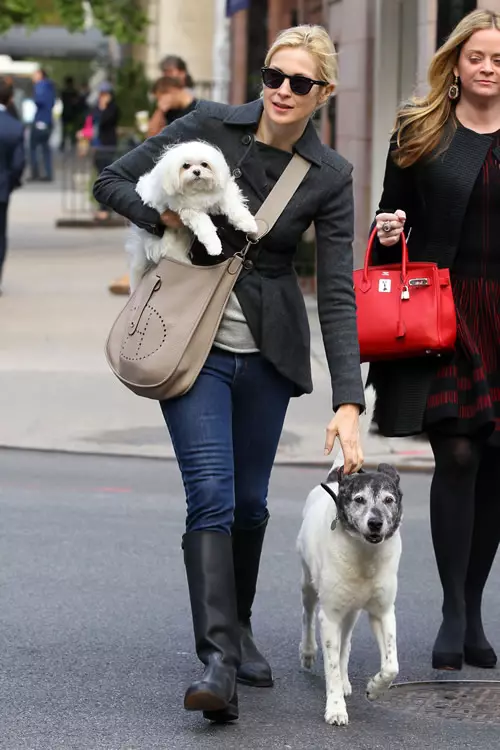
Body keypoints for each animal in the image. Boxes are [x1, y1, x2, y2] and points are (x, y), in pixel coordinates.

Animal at [126, 140, 258, 292]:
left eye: (204, 164)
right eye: (186, 166)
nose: (197, 172)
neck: (198, 190)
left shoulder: (222, 194)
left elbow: (234, 207)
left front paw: (248, 224)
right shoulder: (189, 210)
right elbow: (204, 226)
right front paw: (214, 246)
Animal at [296, 388, 402, 728]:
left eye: (388, 500)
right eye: (358, 499)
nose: (376, 523)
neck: (365, 557)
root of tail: (335, 478)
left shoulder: (383, 611)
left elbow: (391, 664)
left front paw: (375, 687)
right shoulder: (329, 616)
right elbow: (329, 662)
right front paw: (335, 708)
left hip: (352, 611)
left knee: (346, 645)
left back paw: (344, 680)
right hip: (309, 584)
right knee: (308, 615)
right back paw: (307, 652)